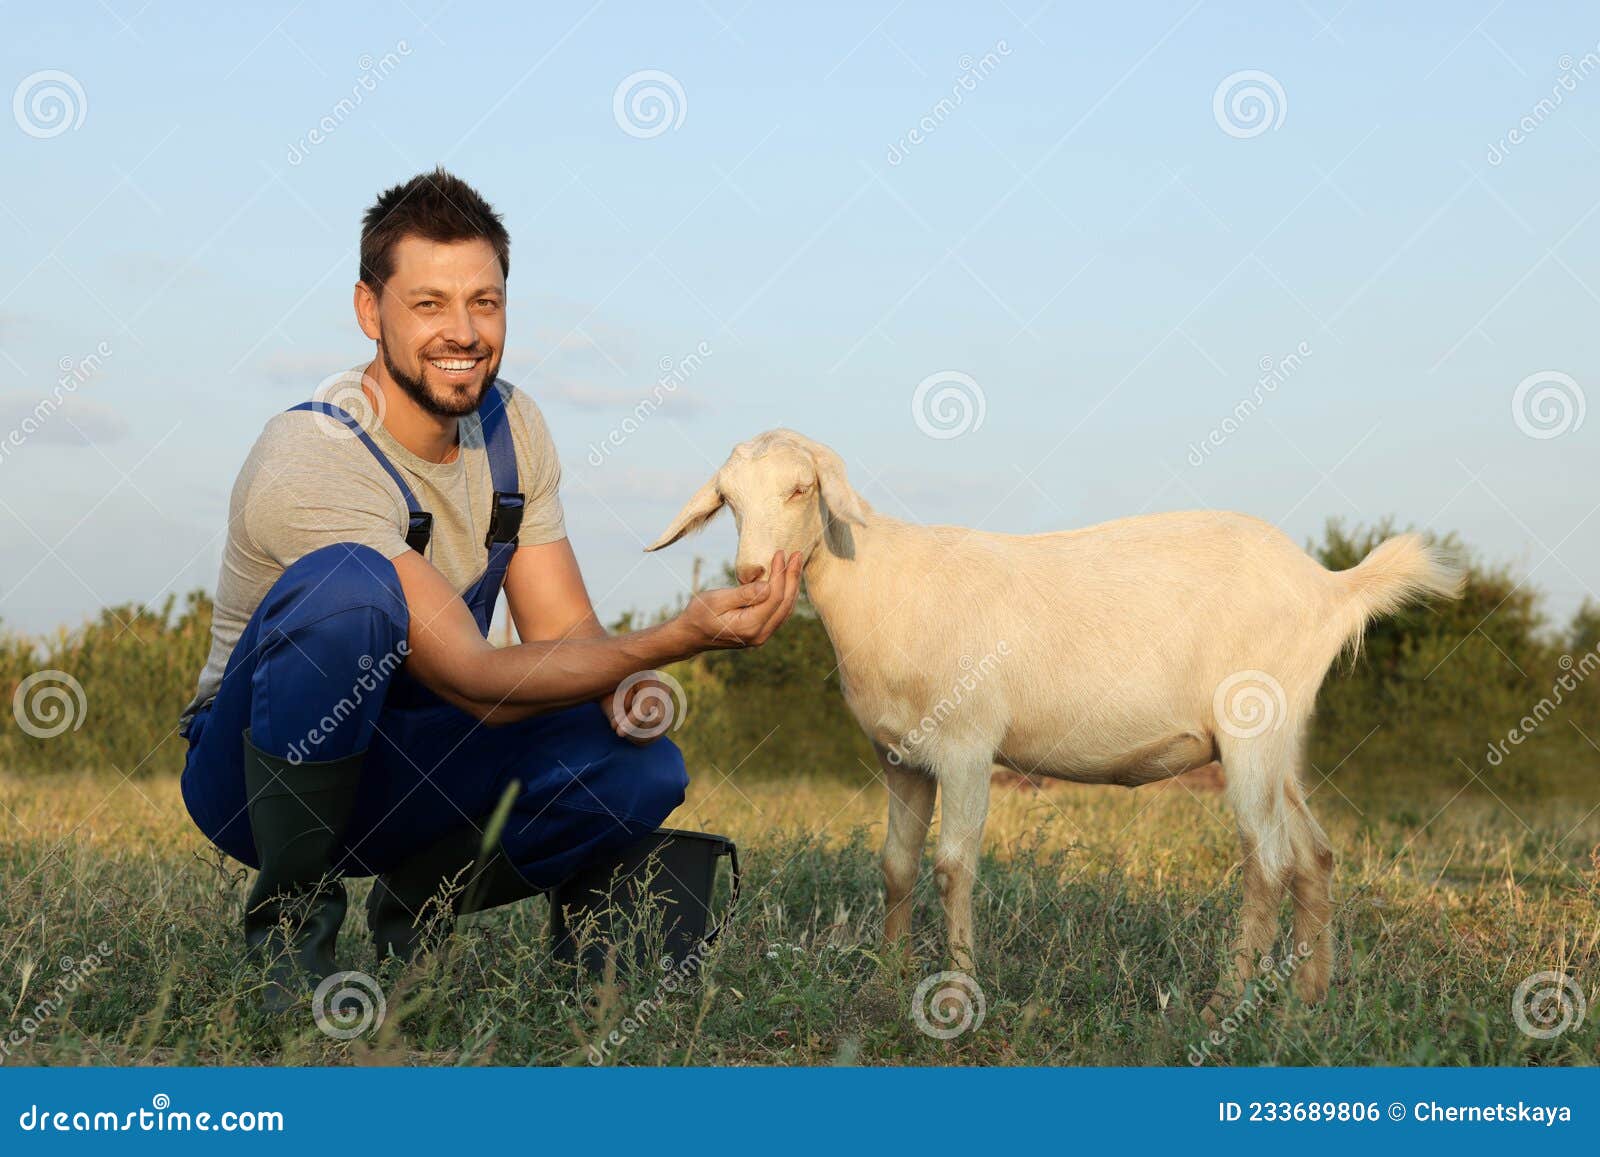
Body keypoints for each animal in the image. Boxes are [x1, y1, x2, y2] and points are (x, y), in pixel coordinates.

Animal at [646, 429, 1461, 1007]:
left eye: (802, 487)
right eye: (728, 500)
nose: (752, 576)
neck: (881, 584)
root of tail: (1330, 588)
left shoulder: (967, 744)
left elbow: (953, 866)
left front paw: (958, 994)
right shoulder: (900, 756)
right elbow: (896, 865)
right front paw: (884, 981)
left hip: (1252, 727)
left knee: (1267, 860)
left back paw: (1223, 1005)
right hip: (1281, 735)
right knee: (1314, 853)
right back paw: (1308, 1000)